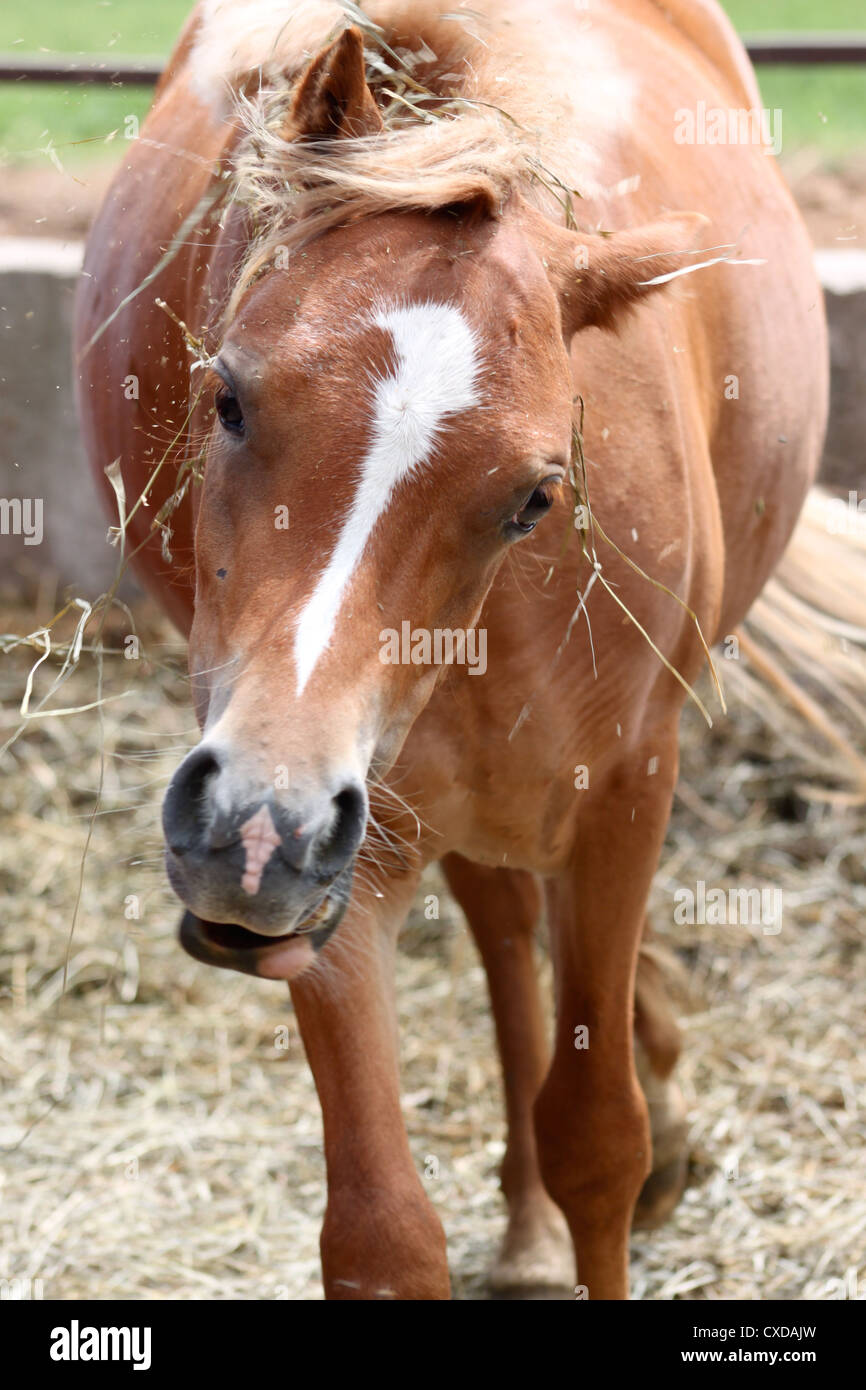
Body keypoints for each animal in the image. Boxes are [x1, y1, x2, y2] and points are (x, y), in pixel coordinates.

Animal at [75, 0, 829, 1299]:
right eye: (226, 398)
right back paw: (526, 1231)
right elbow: (381, 1229)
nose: (252, 830)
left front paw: (640, 1128)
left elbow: (599, 1137)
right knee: (499, 919)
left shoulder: (624, 791)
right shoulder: (347, 859)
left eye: (534, 494)